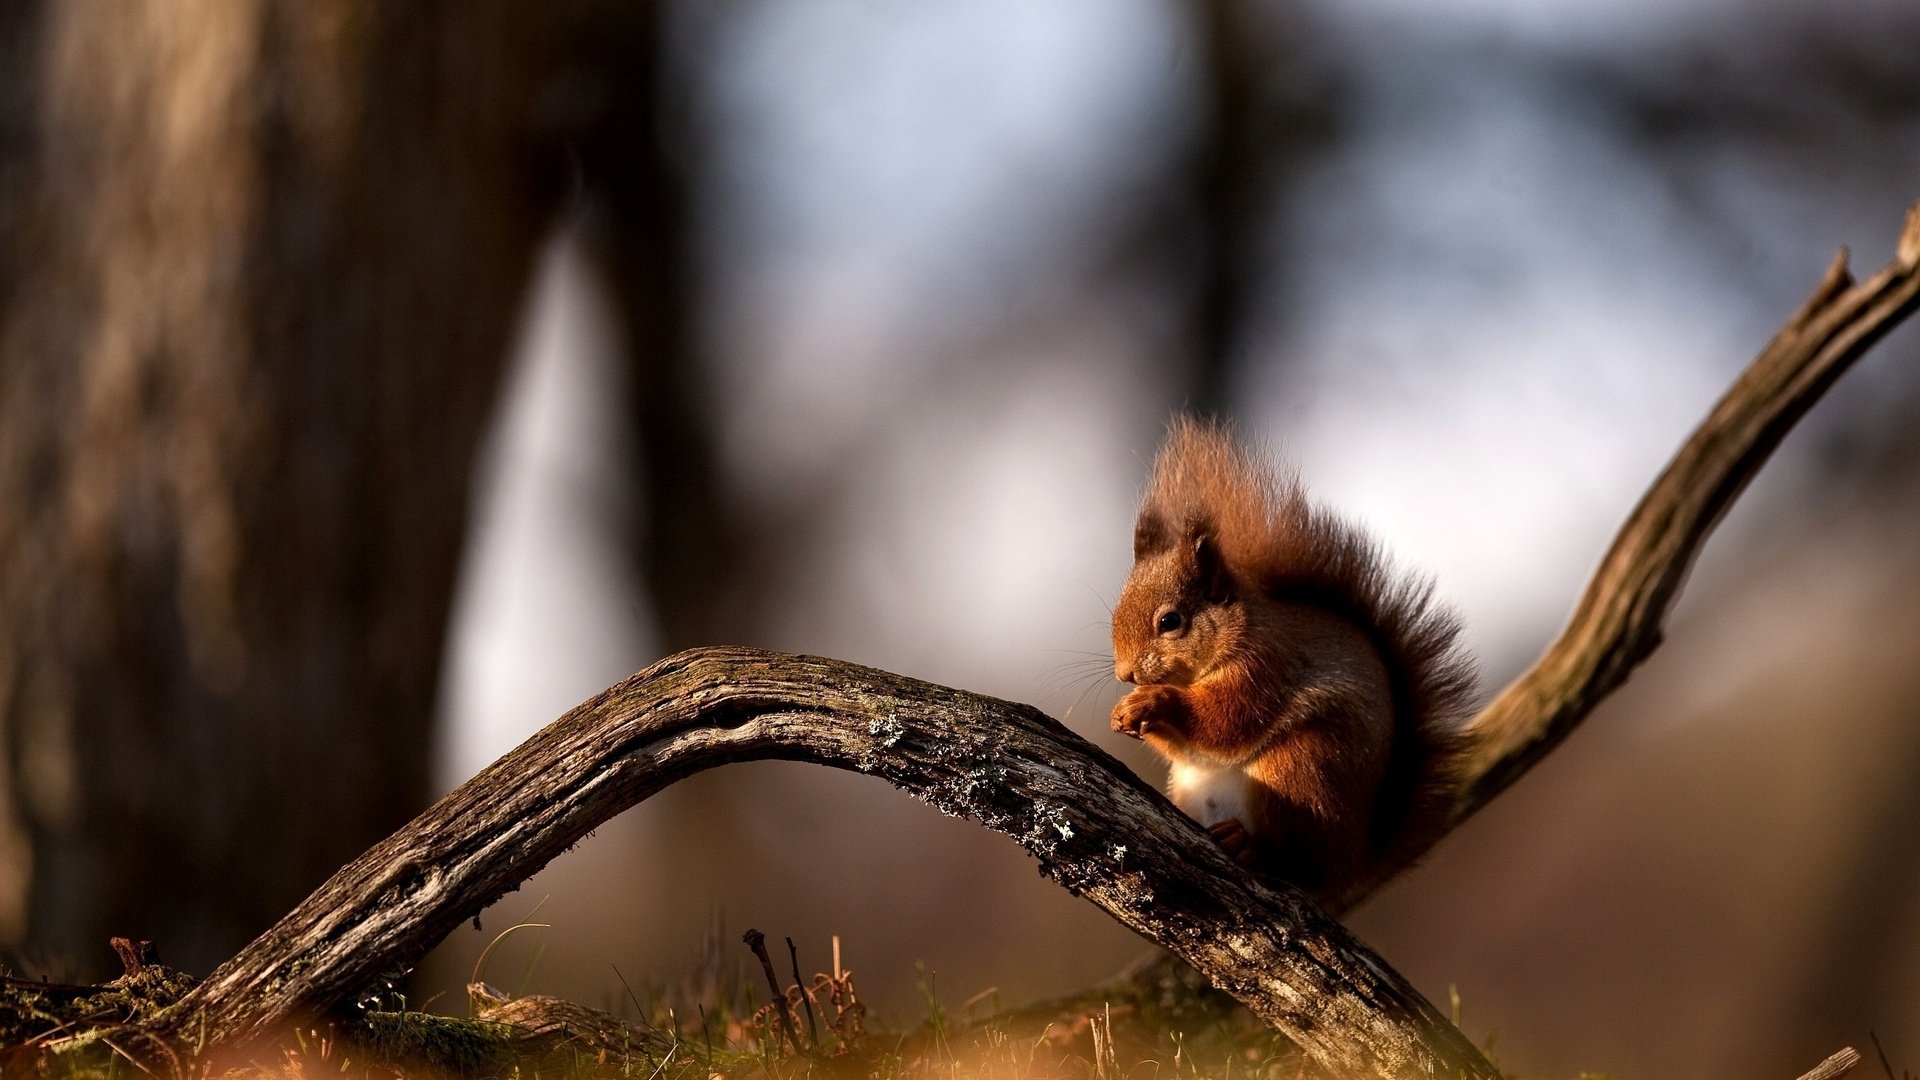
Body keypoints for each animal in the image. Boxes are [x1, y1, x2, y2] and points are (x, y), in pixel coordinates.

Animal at [1109, 417, 1475, 906]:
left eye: (1170, 621)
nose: (1125, 674)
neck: (1238, 631)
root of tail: (1350, 864)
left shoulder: (1265, 666)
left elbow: (1224, 722)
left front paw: (1154, 702)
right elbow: (1189, 746)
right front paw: (1126, 714)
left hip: (1302, 770)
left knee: (1294, 859)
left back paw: (1252, 846)